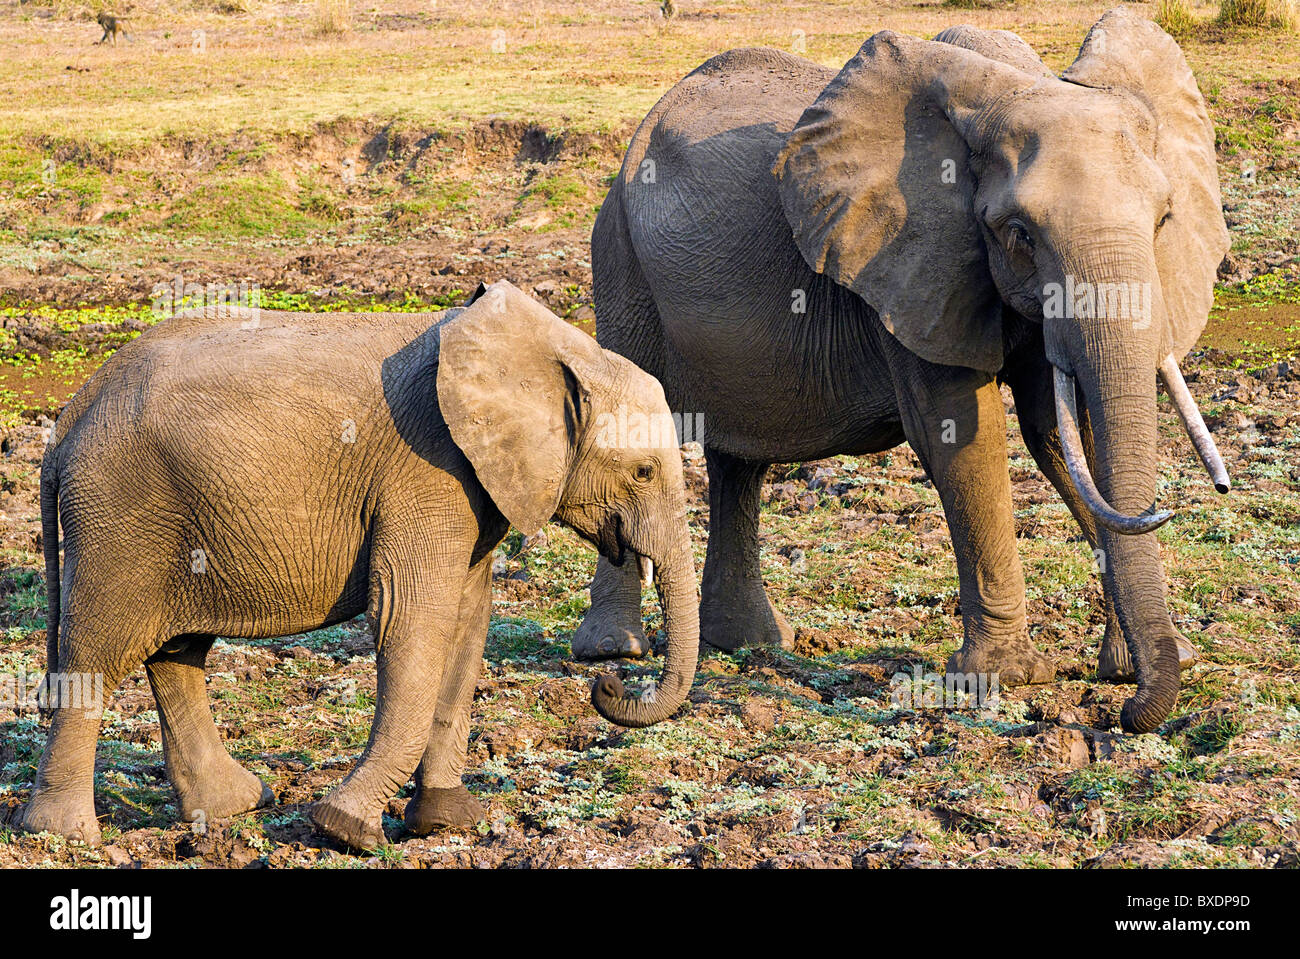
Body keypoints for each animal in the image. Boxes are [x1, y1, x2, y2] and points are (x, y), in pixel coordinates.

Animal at [20, 280, 699, 851]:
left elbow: (466, 622)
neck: (552, 350)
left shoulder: (476, 487)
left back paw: (237, 805)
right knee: (100, 650)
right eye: (643, 471)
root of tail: (71, 415)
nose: (608, 684)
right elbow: (412, 620)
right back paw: (64, 836)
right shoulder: (427, 470)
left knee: (175, 652)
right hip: (121, 514)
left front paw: (446, 822)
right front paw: (346, 830)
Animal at [572, 8, 1231, 734]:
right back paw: (613, 652)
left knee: (738, 461)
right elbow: (964, 435)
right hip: (619, 257)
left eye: (1163, 219)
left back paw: (749, 643)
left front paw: (1154, 662)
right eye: (1020, 233)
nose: (1124, 711)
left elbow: (1064, 432)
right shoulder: (907, 261)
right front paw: (1004, 678)